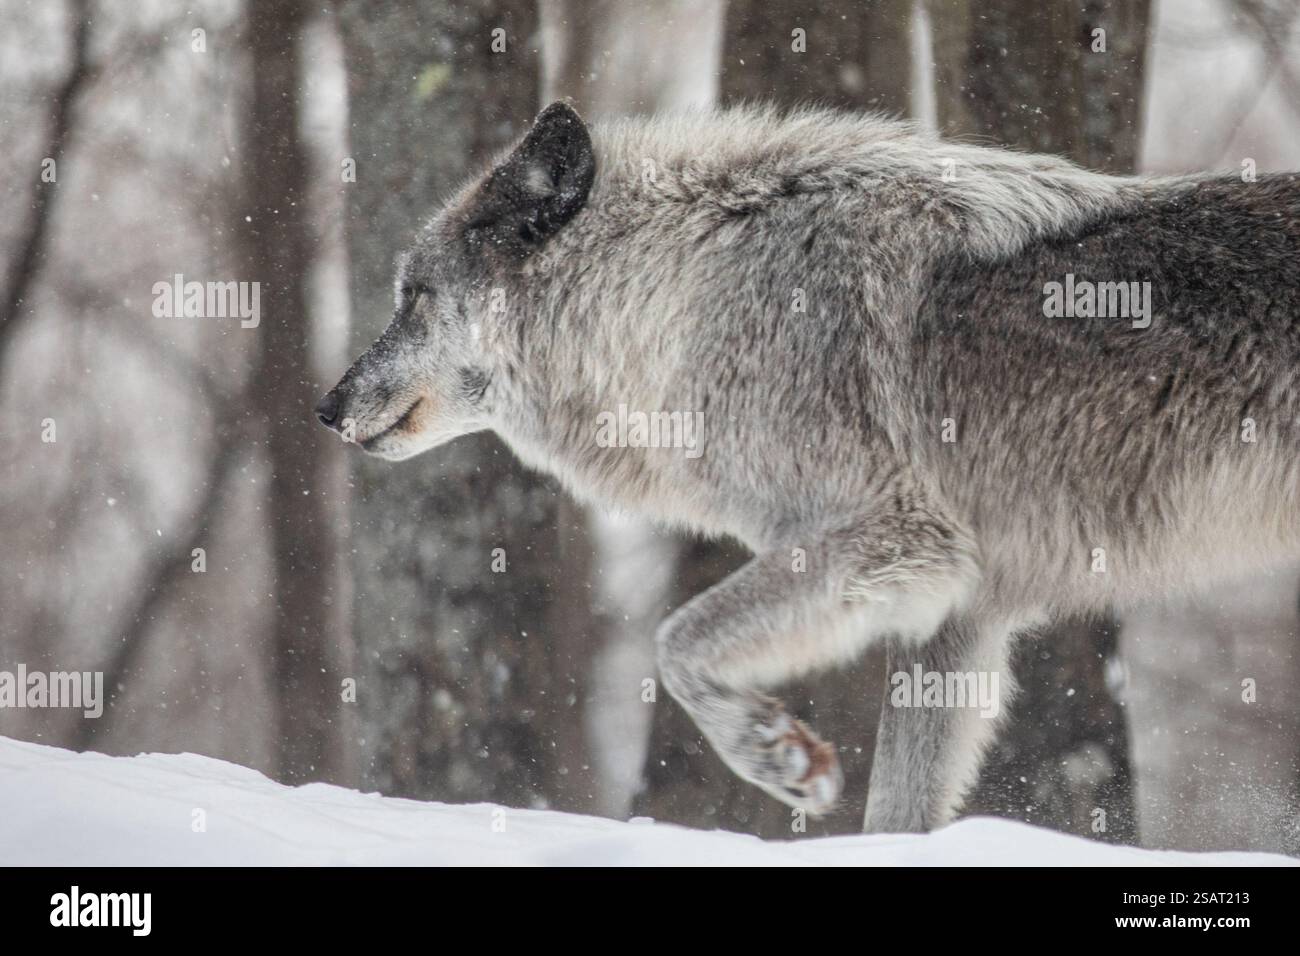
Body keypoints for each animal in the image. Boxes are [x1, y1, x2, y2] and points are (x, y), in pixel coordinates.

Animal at [317, 102, 1300, 832]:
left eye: (411, 298)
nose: (326, 407)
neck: (678, 297)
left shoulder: (895, 538)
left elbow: (678, 642)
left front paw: (774, 753)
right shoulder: (957, 615)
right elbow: (897, 811)